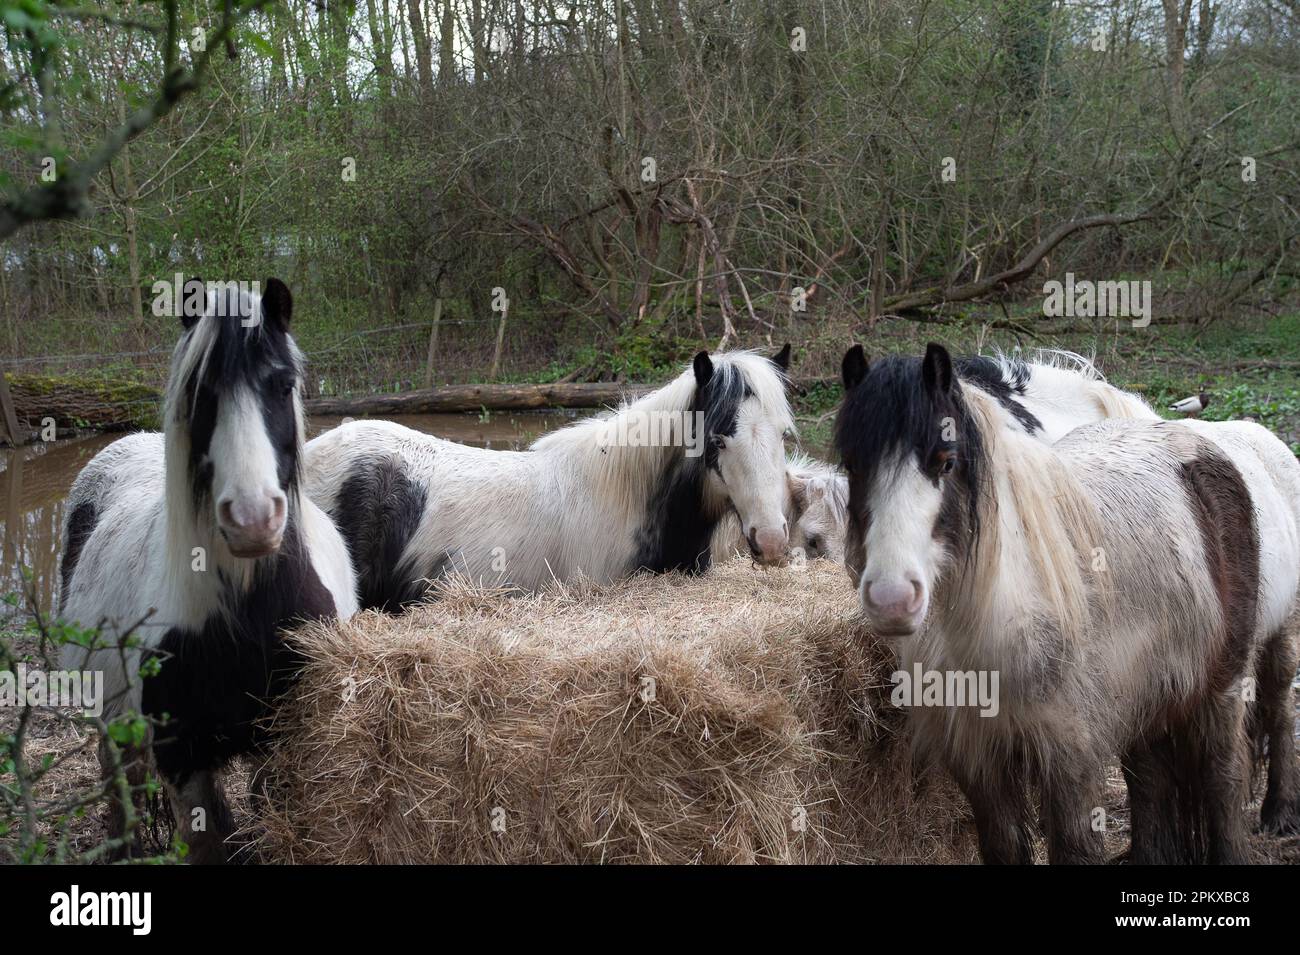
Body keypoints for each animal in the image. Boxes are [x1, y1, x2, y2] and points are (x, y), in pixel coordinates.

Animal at [59, 279, 358, 863]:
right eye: (200, 394)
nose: (252, 518)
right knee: (120, 782)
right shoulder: (182, 757)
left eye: (282, 385)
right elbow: (206, 841)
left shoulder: (286, 742)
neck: (245, 611)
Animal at [836, 343, 1262, 864]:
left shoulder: (1069, 759)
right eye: (853, 465)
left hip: (1221, 691)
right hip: (1147, 699)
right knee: (1150, 781)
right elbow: (1004, 847)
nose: (892, 599)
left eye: (945, 461)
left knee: (1223, 782)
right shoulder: (979, 764)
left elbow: (1076, 847)